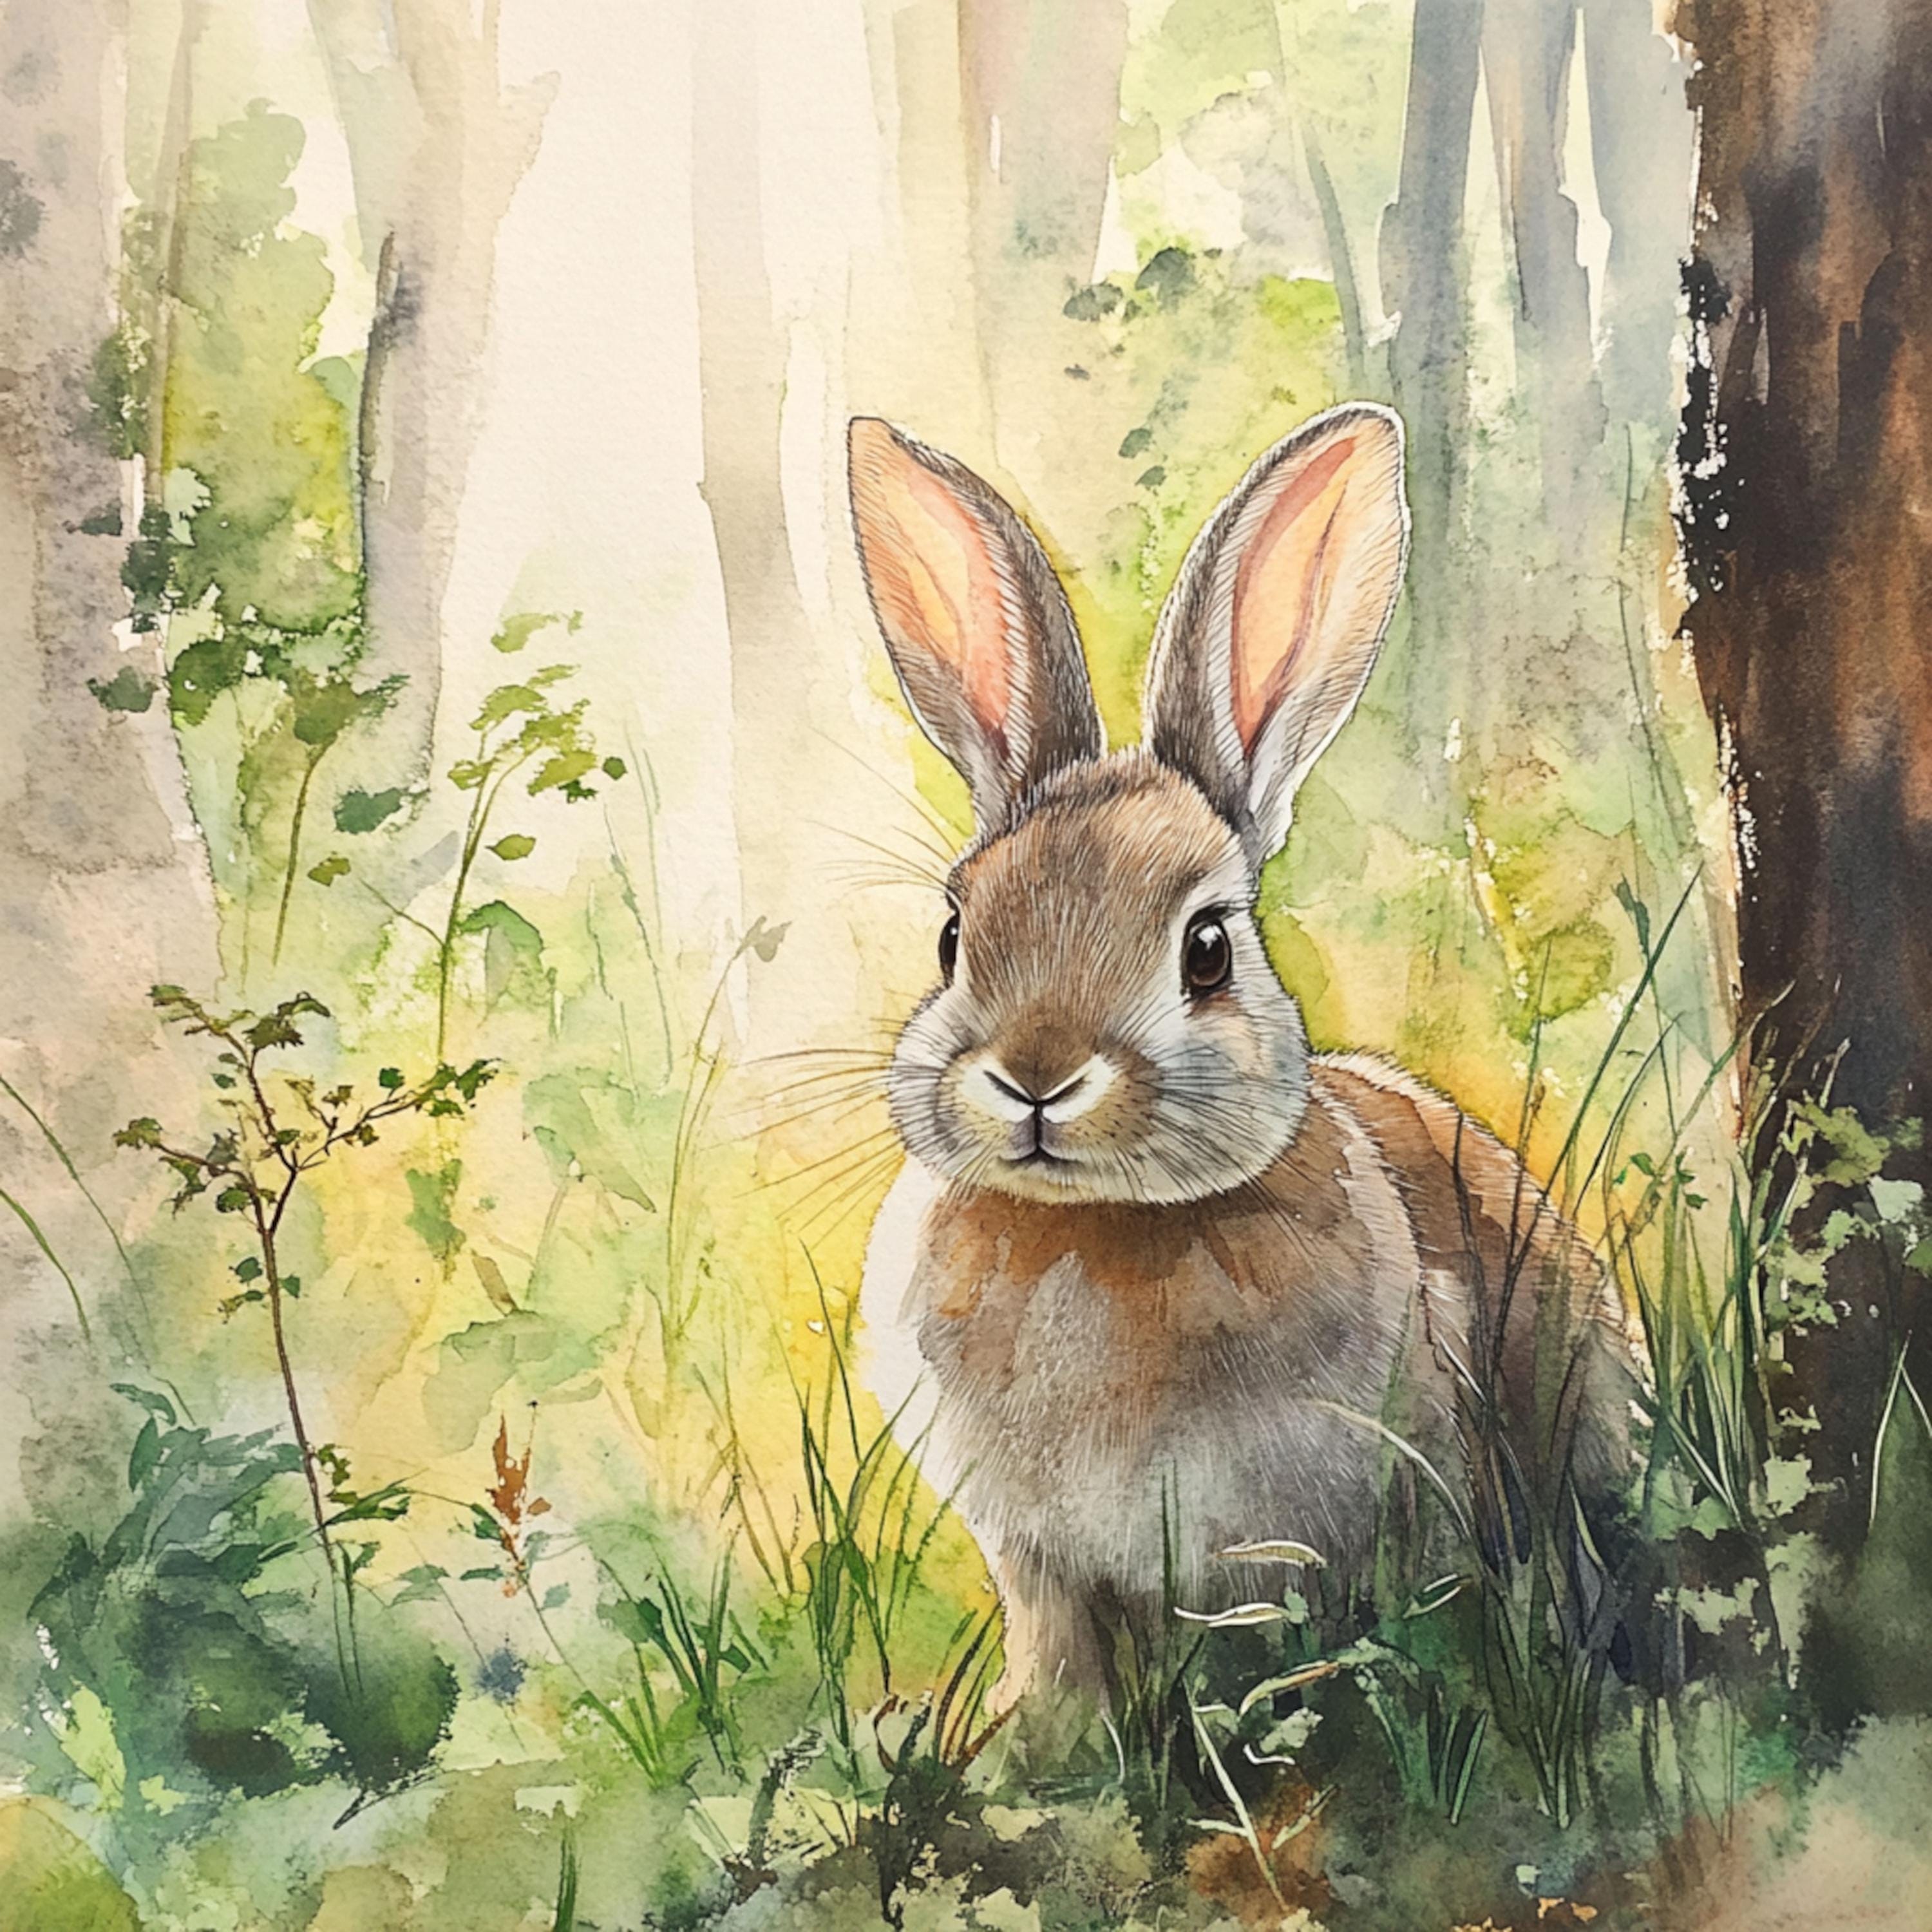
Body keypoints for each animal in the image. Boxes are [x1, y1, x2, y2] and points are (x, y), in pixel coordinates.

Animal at [846, 403, 1636, 1706]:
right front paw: (1018, 1731)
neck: (1099, 1230)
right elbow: (1061, 1661)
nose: (1036, 1079)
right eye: (955, 935)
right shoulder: (1038, 1565)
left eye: (1208, 949)